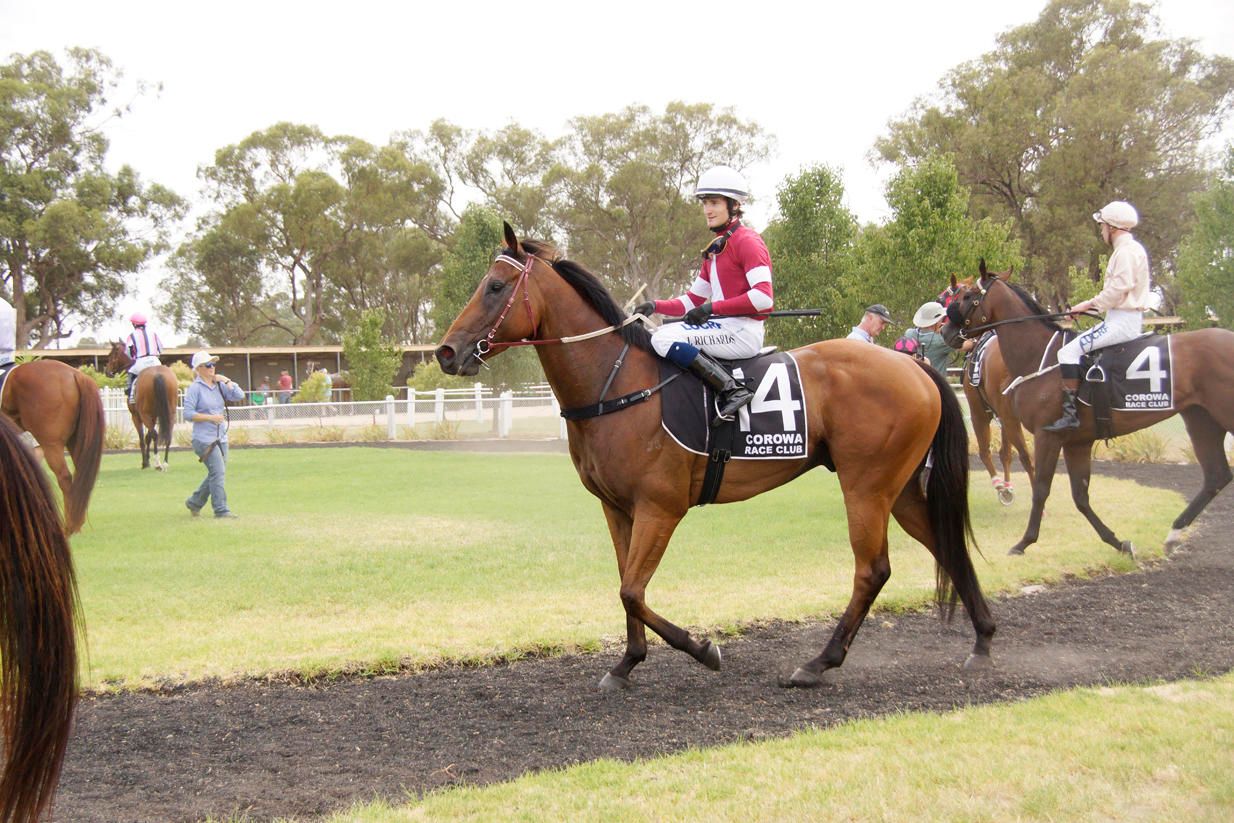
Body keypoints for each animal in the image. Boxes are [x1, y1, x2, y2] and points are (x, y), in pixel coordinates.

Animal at [105, 342, 177, 471]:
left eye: (110, 355)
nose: (107, 371)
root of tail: (158, 374)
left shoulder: (136, 416)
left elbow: (142, 438)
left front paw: (145, 462)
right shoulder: (152, 416)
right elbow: (148, 437)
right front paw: (147, 460)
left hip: (144, 414)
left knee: (155, 435)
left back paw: (158, 463)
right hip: (170, 412)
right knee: (167, 435)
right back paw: (165, 462)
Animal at [436, 223, 994, 689]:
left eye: (495, 287)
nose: (446, 352)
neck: (616, 383)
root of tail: (914, 366)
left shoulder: (660, 508)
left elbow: (632, 591)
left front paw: (702, 649)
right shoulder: (616, 508)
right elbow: (626, 585)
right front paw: (627, 663)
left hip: (866, 486)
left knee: (873, 569)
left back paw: (818, 663)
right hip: (898, 489)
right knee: (946, 545)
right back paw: (984, 640)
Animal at [963, 333, 1035, 504]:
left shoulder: (986, 415)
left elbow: (1002, 453)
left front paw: (1005, 488)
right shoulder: (1004, 417)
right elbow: (1004, 453)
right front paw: (1004, 487)